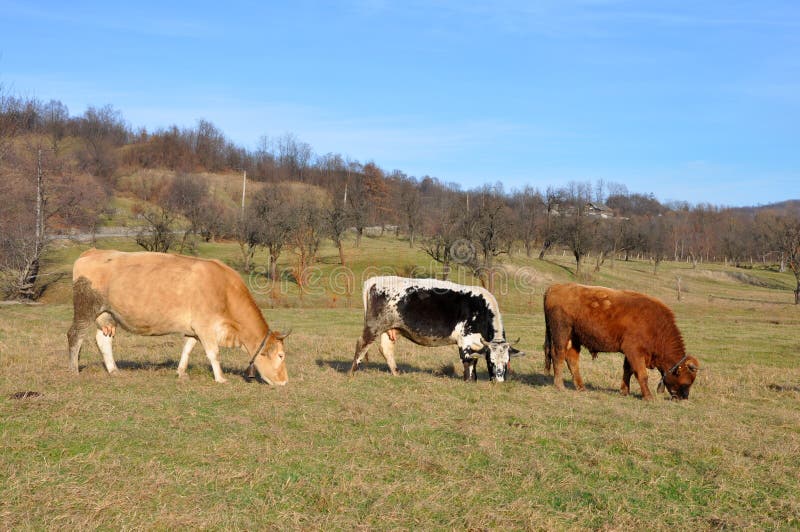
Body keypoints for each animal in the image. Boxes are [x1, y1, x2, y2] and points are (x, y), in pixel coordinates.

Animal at [67, 249, 289, 385]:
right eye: (281, 355)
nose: (285, 381)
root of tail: (94, 251)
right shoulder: (205, 326)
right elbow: (214, 353)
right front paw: (220, 378)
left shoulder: (194, 329)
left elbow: (187, 349)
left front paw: (181, 372)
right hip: (85, 309)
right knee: (75, 335)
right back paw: (74, 370)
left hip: (107, 314)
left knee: (103, 340)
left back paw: (113, 370)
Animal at [350, 276, 522, 382]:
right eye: (491, 362)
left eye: (507, 362)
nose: (499, 381)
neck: (481, 309)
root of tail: (375, 280)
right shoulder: (465, 341)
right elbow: (468, 361)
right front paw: (468, 381)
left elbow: (474, 361)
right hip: (374, 326)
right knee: (362, 344)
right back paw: (352, 372)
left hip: (390, 328)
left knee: (386, 349)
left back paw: (396, 373)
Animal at [543, 283, 699, 400]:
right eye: (686, 382)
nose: (684, 398)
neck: (657, 326)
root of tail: (554, 287)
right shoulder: (634, 351)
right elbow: (642, 374)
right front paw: (648, 396)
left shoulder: (630, 353)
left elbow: (627, 371)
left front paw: (625, 391)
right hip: (562, 332)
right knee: (558, 355)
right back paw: (560, 385)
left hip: (575, 337)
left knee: (572, 359)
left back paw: (581, 387)